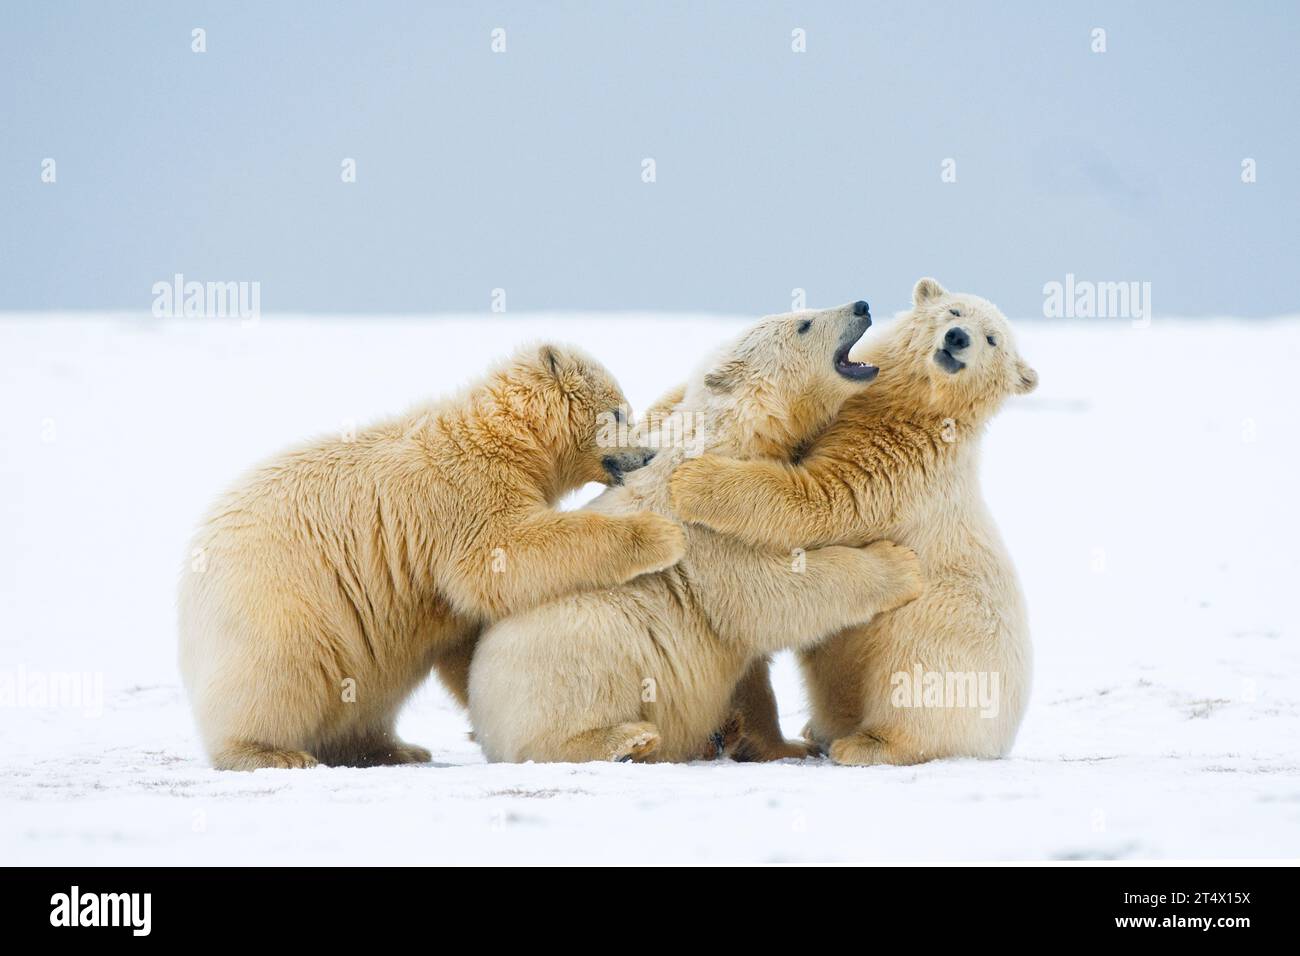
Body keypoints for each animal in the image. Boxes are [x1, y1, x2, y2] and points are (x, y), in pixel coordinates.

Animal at [178, 343, 685, 771]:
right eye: (619, 412)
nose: (648, 454)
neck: (498, 438)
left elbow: (466, 629)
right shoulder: (462, 494)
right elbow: (503, 554)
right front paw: (662, 534)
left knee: (368, 692)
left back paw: (395, 748)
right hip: (280, 600)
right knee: (279, 674)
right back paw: (271, 752)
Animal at [466, 301, 926, 764]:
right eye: (804, 323)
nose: (861, 306)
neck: (730, 438)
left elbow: (751, 672)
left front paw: (786, 744)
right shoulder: (705, 533)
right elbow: (769, 593)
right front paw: (900, 564)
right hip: (567, 652)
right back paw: (626, 740)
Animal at [669, 278, 1038, 766]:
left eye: (993, 339)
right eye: (954, 311)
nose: (958, 339)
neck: (915, 412)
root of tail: (1003, 739)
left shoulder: (900, 466)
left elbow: (824, 498)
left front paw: (693, 481)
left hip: (941, 647)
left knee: (911, 691)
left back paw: (861, 743)